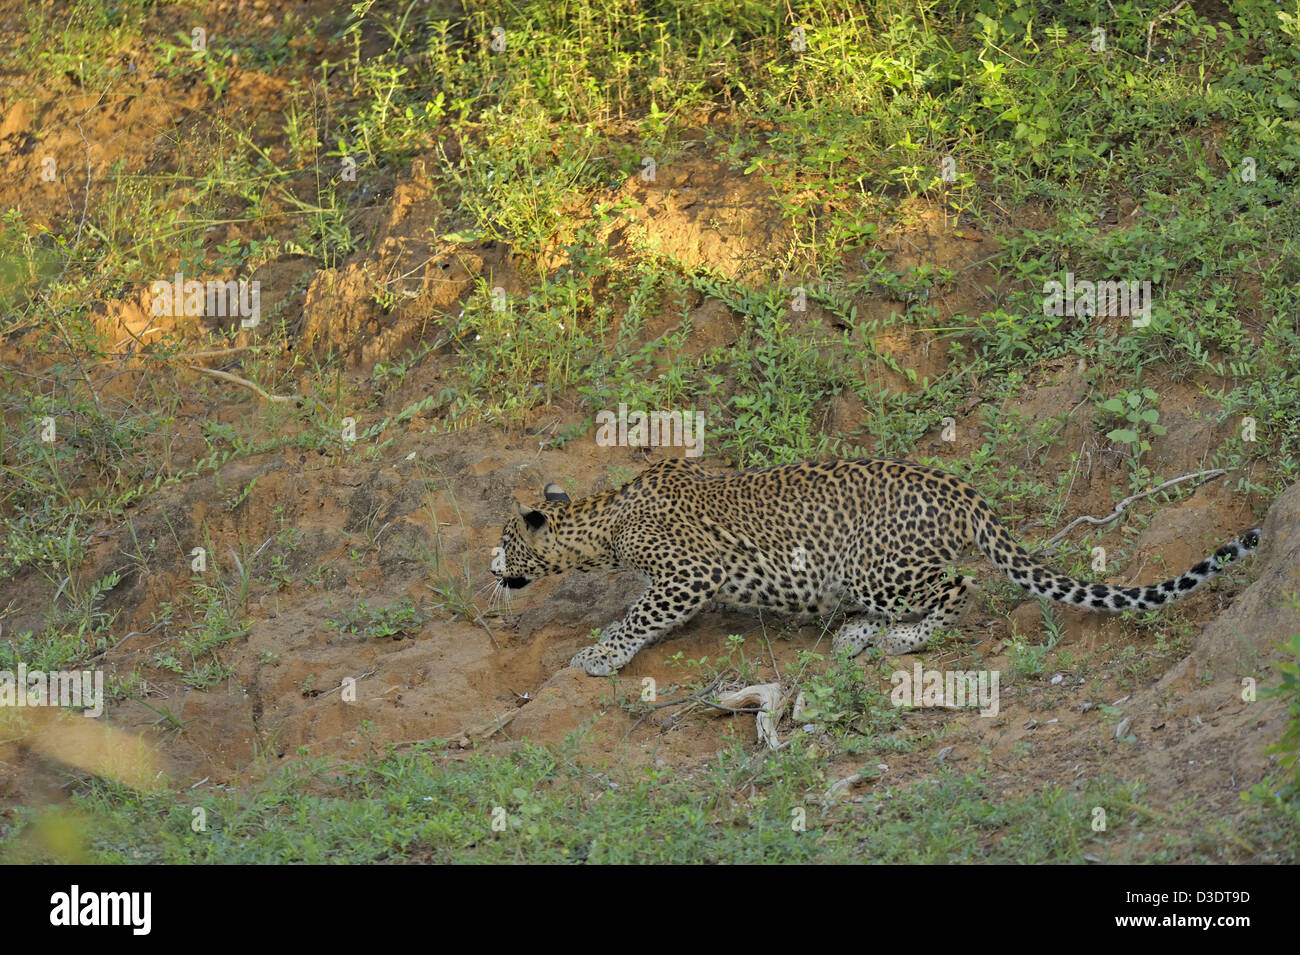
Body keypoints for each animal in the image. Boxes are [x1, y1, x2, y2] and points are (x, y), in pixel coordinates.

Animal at [490, 457, 1261, 677]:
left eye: (502, 535)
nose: (490, 566)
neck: (604, 520)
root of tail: (960, 488)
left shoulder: (689, 574)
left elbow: (636, 614)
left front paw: (599, 655)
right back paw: (856, 635)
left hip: (877, 565)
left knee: (959, 587)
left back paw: (895, 640)